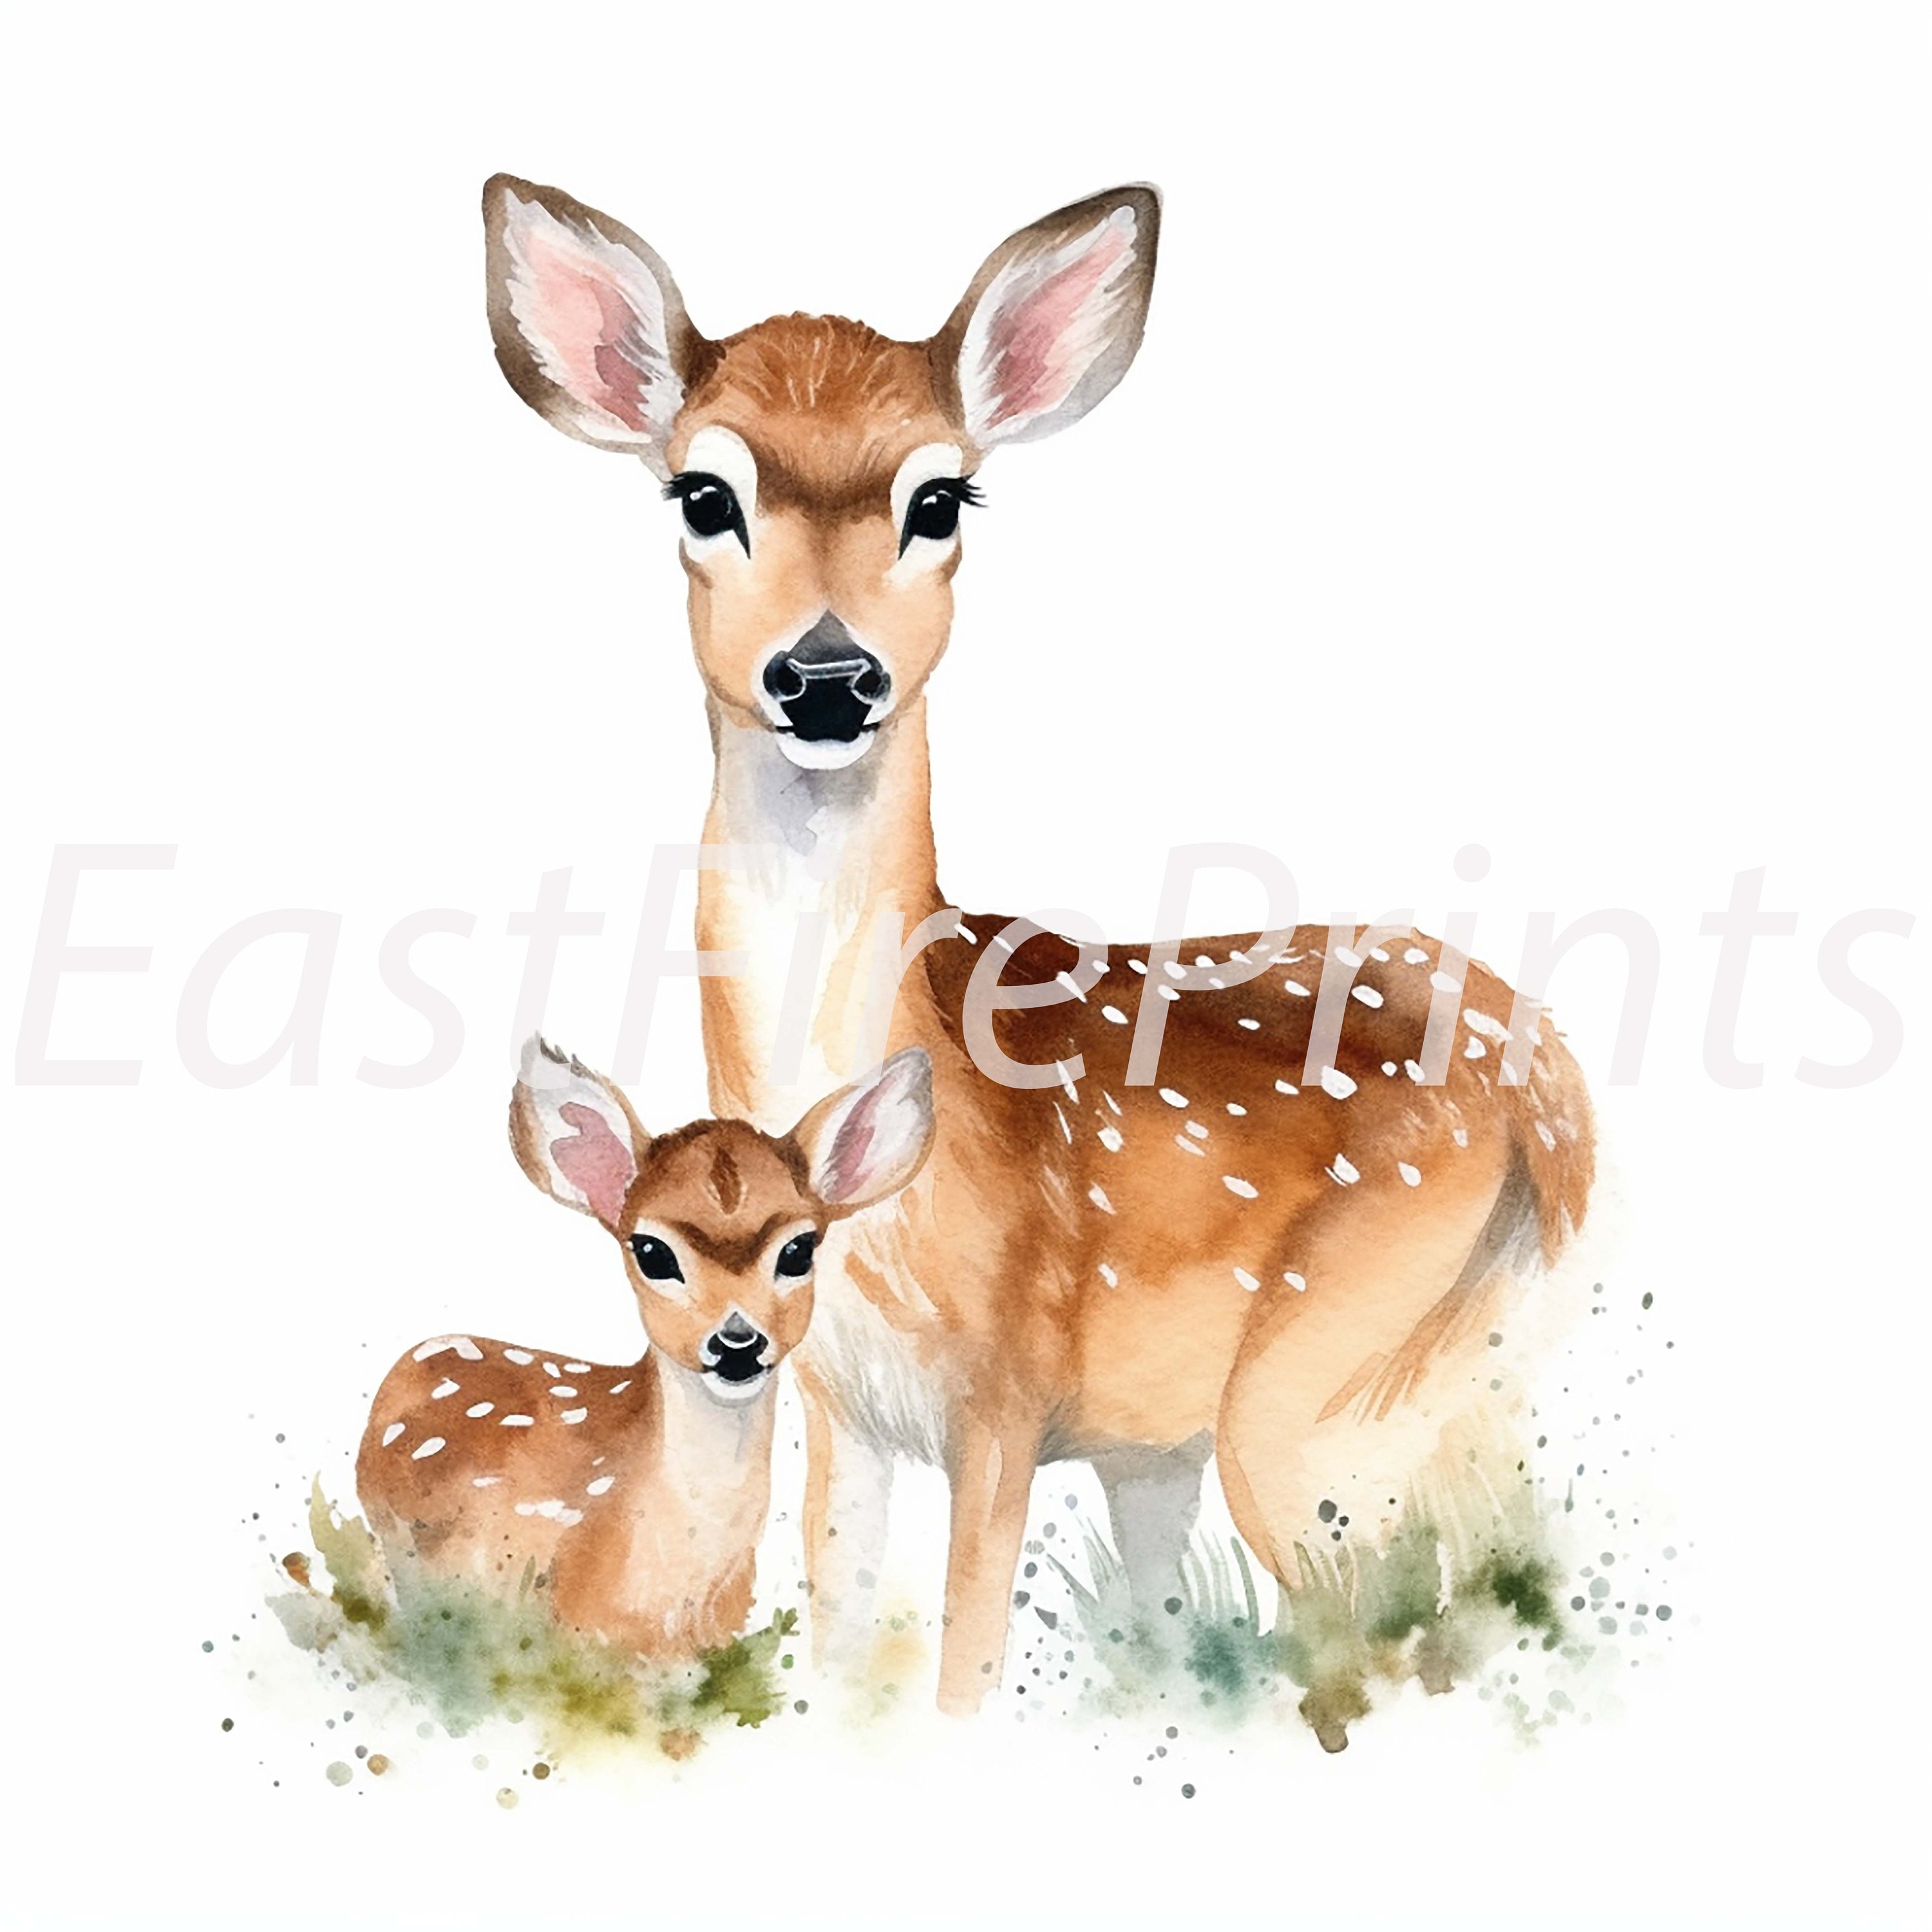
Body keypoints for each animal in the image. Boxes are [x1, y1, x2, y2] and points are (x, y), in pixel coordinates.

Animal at [480, 174, 1596, 1728]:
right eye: (704, 494)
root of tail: (1554, 1092)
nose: (827, 676)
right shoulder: (855, 1407)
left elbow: (965, 1667)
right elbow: (847, 1643)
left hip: (1318, 1381)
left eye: (938, 496)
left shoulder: (1009, 1386)